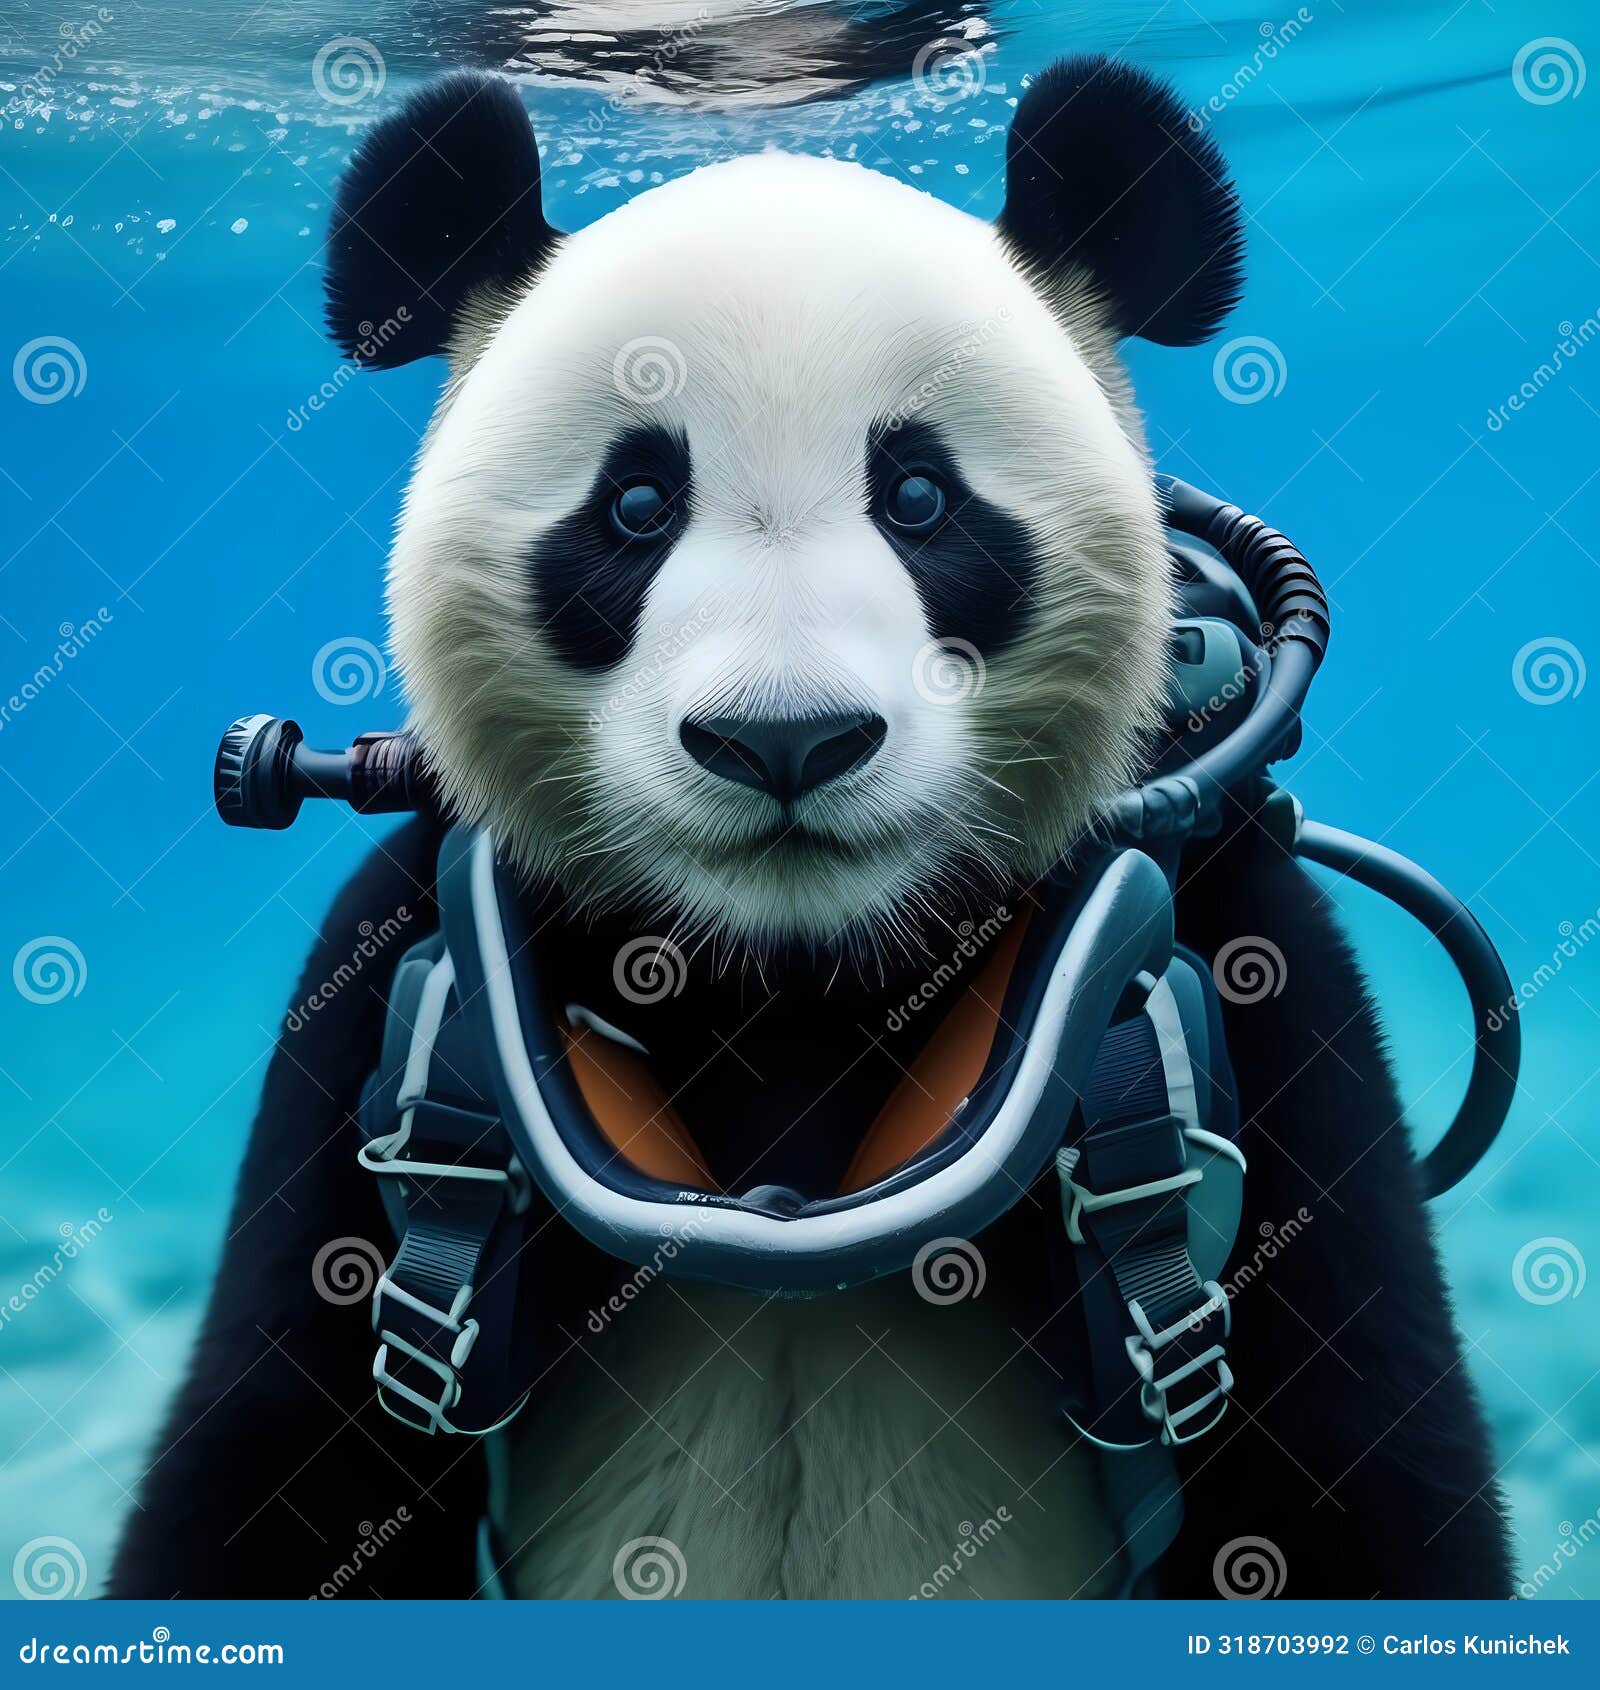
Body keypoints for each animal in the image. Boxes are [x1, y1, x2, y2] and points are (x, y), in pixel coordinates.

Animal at [109, 57, 1511, 1601]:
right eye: (636, 504)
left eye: (921, 497)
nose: (785, 739)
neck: (790, 983)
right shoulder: (384, 960)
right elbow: (269, 1446)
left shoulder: (1250, 939)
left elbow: (1362, 1446)